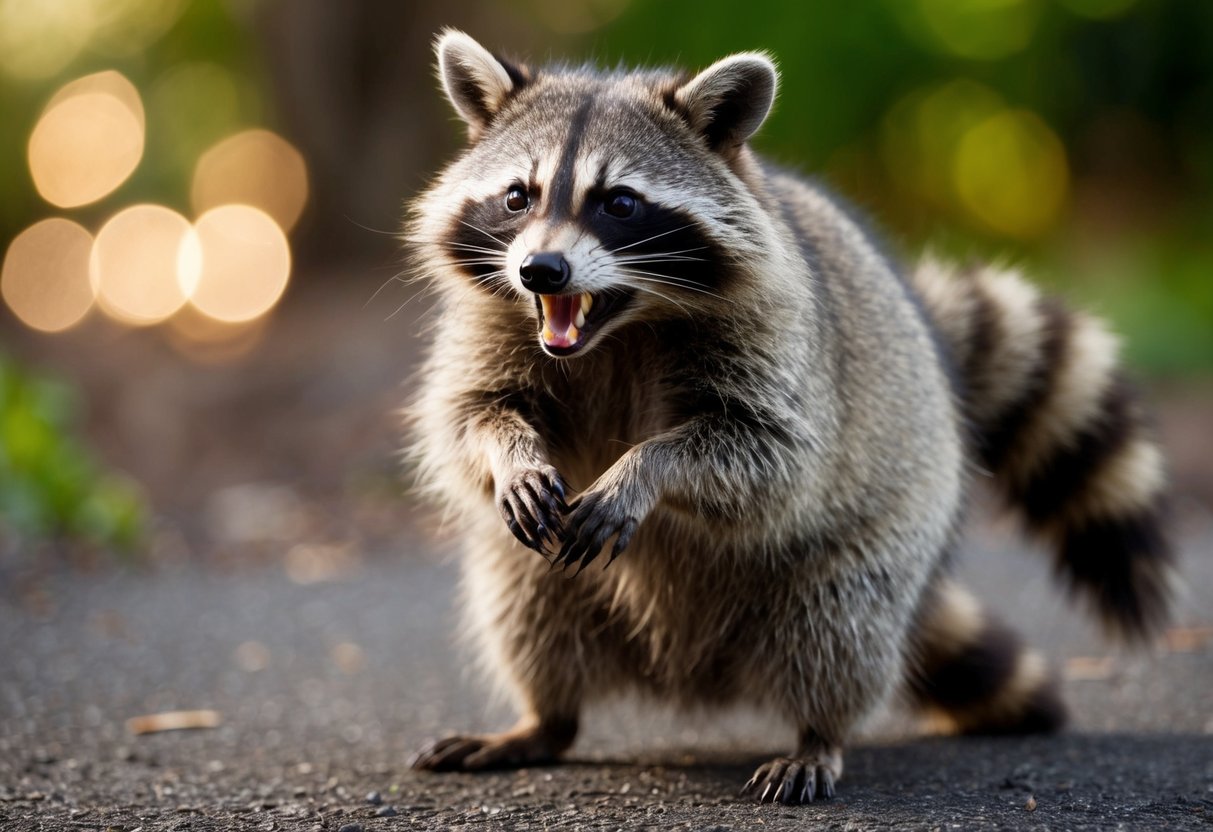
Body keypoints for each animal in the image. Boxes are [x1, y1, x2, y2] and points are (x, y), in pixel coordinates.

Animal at [405, 30, 1174, 804]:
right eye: (517, 196)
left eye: (618, 203)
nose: (542, 270)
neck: (619, 326)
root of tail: (690, 676)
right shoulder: (493, 321)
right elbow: (467, 413)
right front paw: (512, 454)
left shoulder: (779, 338)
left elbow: (770, 454)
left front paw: (643, 469)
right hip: (531, 566)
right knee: (529, 609)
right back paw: (545, 718)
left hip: (869, 545)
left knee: (837, 629)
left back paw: (817, 733)